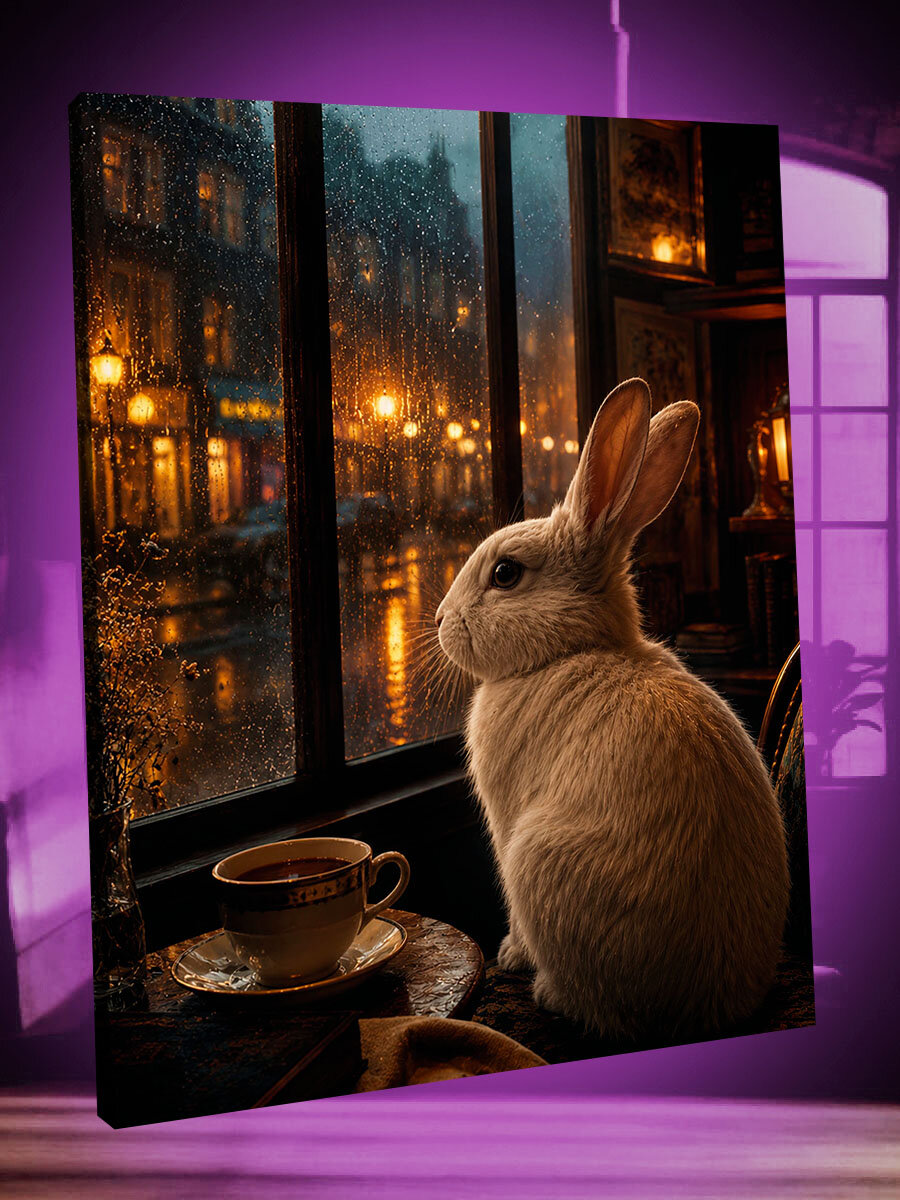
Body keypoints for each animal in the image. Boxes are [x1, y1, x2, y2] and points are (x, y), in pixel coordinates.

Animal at [435, 378, 789, 1040]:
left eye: (505, 573)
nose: (442, 620)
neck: (570, 648)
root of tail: (701, 1012)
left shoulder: (506, 822)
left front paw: (510, 954)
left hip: (534, 860)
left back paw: (547, 989)